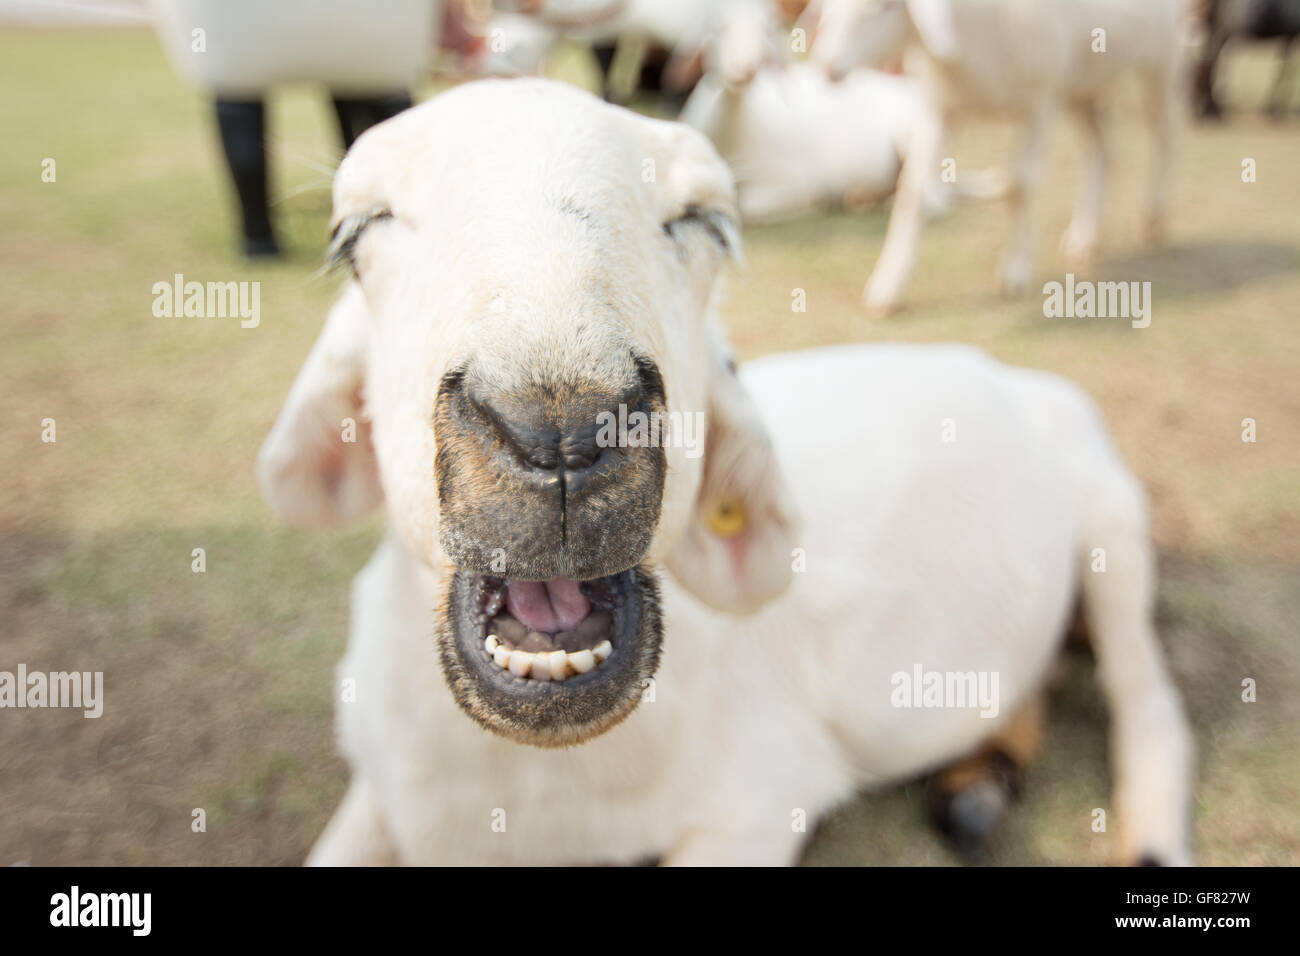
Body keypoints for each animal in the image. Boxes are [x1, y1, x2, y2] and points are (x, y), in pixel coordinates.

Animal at [259, 78, 1193, 865]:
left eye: (704, 222)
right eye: (356, 232)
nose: (558, 433)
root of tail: (998, 368)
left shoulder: (757, 803)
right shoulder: (381, 791)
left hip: (1113, 527)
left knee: (1148, 704)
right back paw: (975, 794)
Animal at [810, 0, 1185, 312]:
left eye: (885, 7)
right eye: (829, 10)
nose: (827, 67)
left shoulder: (1037, 104)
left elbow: (1019, 186)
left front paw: (1014, 273)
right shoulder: (939, 108)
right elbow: (913, 192)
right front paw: (887, 286)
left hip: (1161, 57)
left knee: (1165, 135)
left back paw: (1155, 217)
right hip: (1083, 81)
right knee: (1102, 151)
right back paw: (1085, 236)